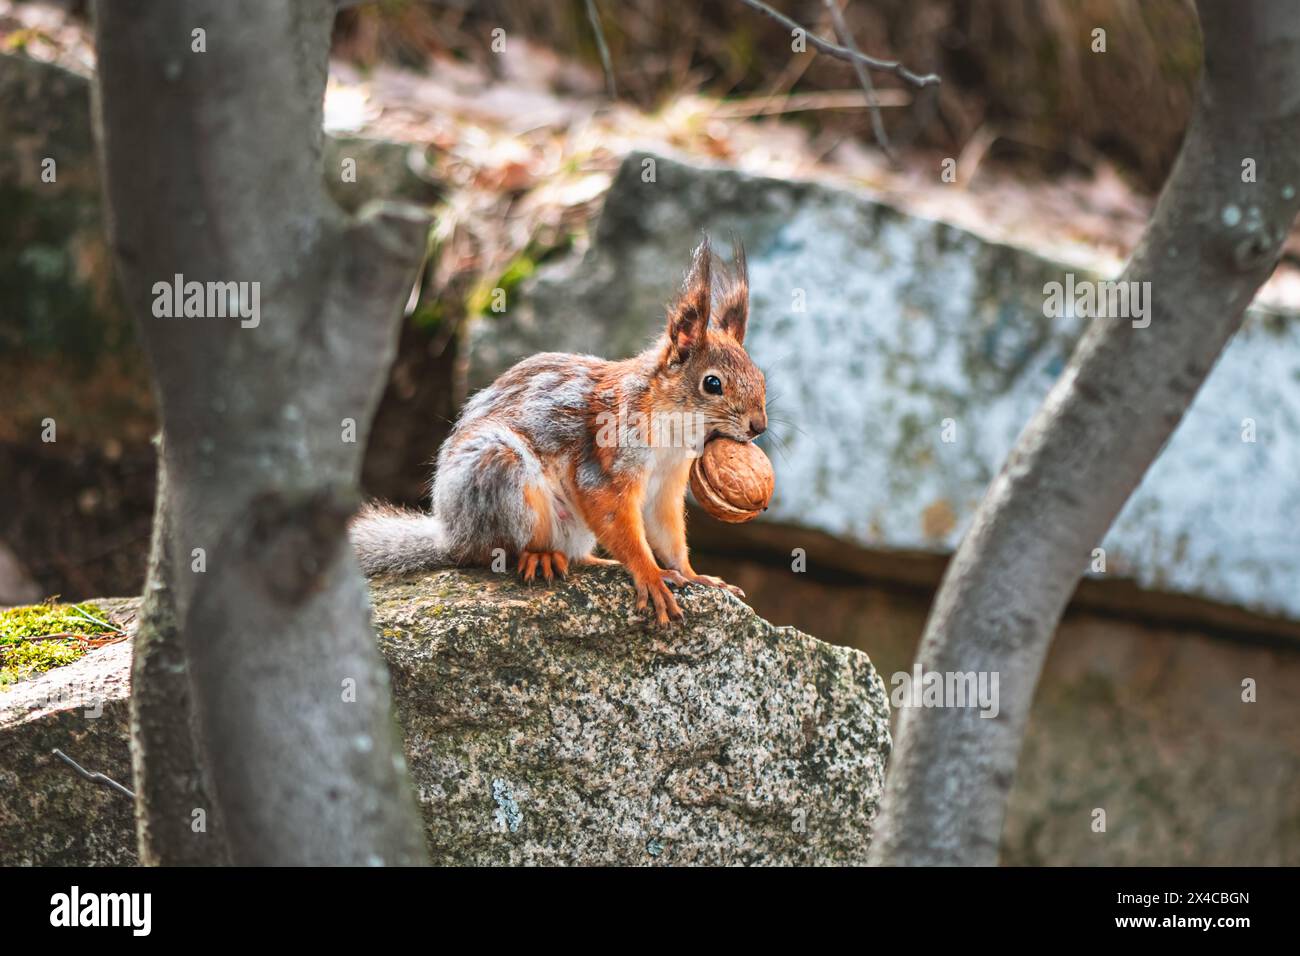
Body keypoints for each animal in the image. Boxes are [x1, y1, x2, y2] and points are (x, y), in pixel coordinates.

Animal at [350, 236, 767, 624]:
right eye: (712, 384)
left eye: (761, 376)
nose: (759, 426)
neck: (672, 430)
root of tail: (449, 534)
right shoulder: (605, 464)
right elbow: (620, 525)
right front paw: (650, 575)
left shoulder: (666, 486)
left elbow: (667, 535)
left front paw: (695, 575)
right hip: (497, 471)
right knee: (493, 551)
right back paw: (540, 556)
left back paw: (594, 562)